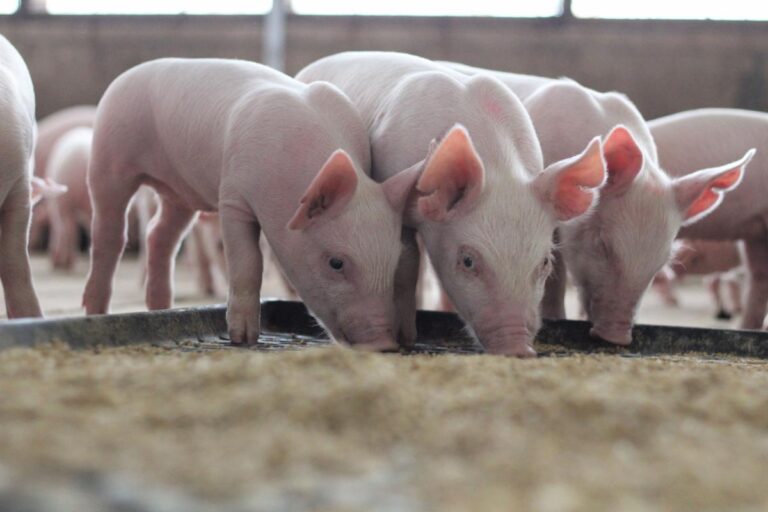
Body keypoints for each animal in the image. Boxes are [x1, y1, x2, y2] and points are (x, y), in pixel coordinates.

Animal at [82, 58, 419, 349]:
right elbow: (248, 262)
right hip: (108, 156)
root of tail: (127, 74)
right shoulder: (233, 197)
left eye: (394, 260)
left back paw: (160, 308)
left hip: (179, 193)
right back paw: (94, 312)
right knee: (110, 233)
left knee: (159, 235)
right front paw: (243, 339)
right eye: (336, 263)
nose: (384, 344)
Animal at [297, 52, 608, 356]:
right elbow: (407, 262)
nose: (518, 347)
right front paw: (407, 340)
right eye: (468, 261)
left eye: (544, 261)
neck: (499, 170)